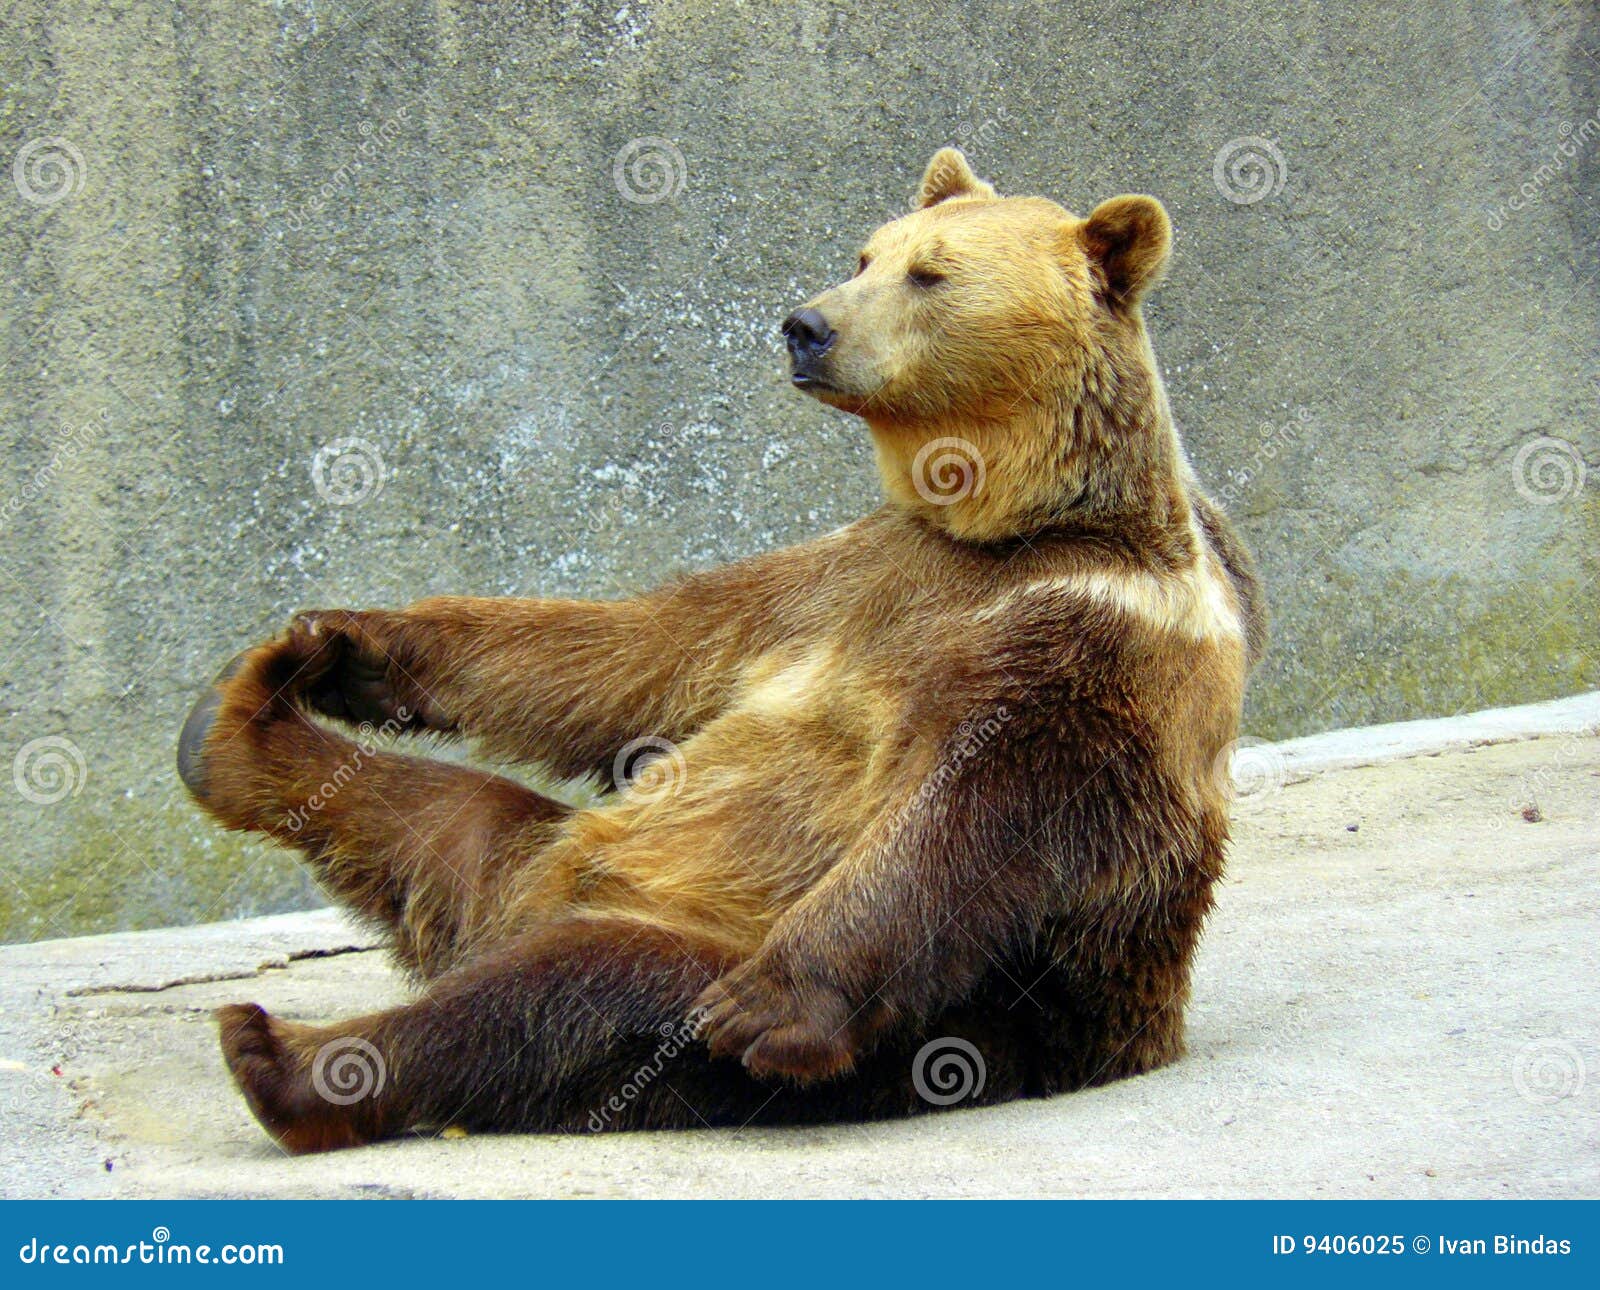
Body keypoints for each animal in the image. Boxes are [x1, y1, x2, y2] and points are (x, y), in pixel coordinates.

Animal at [177, 148, 1265, 1153]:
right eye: (865, 253)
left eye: (931, 274)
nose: (806, 325)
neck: (1014, 524)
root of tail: (512, 915)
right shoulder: (829, 584)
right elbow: (629, 655)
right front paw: (347, 641)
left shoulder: (1087, 638)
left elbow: (973, 806)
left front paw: (775, 1002)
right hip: (525, 854)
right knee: (434, 813)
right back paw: (235, 728)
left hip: (894, 996)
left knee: (576, 993)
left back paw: (292, 1057)